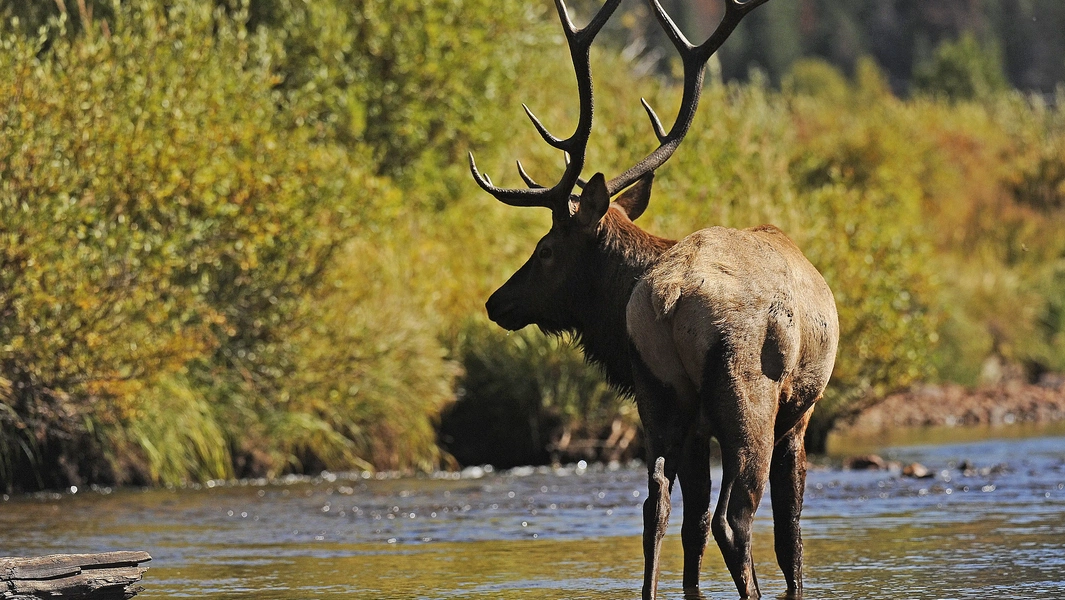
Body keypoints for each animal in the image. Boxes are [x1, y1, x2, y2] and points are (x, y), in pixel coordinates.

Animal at [468, 0, 839, 598]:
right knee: (734, 518)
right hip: (747, 394)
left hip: (661, 396)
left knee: (659, 505)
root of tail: (670, 297)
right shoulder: (799, 415)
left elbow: (692, 521)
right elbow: (790, 536)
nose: (496, 302)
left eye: (545, 250)